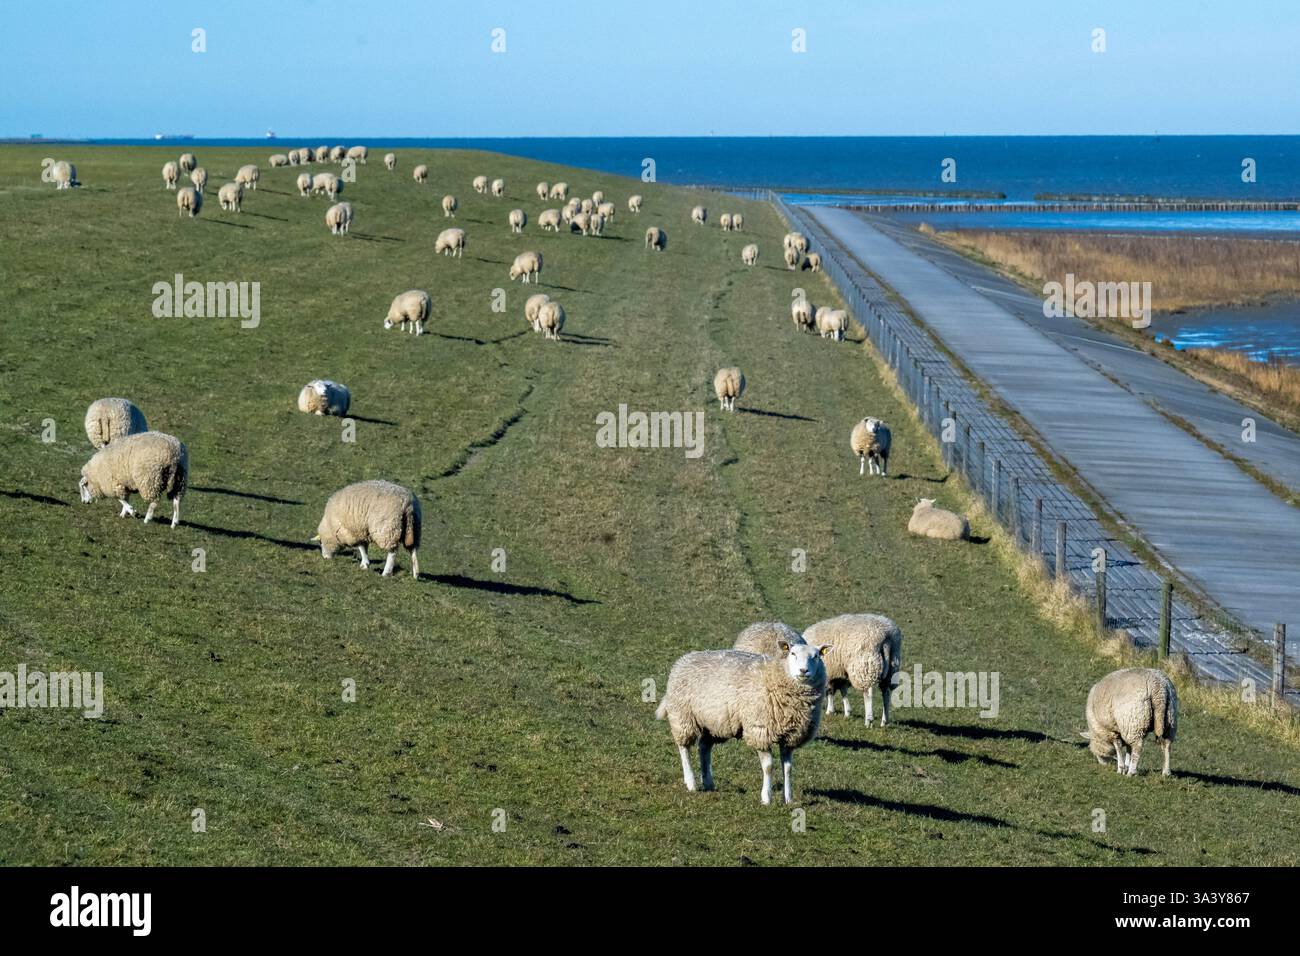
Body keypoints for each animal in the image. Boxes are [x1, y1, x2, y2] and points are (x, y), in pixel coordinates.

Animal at [656, 641, 831, 804]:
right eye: (792, 653)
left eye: (816, 656)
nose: (803, 671)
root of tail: (685, 658)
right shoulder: (759, 731)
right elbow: (768, 766)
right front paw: (766, 798)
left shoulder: (789, 737)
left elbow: (787, 768)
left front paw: (788, 799)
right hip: (683, 716)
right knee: (684, 748)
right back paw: (691, 782)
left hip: (714, 723)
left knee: (704, 747)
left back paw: (708, 782)